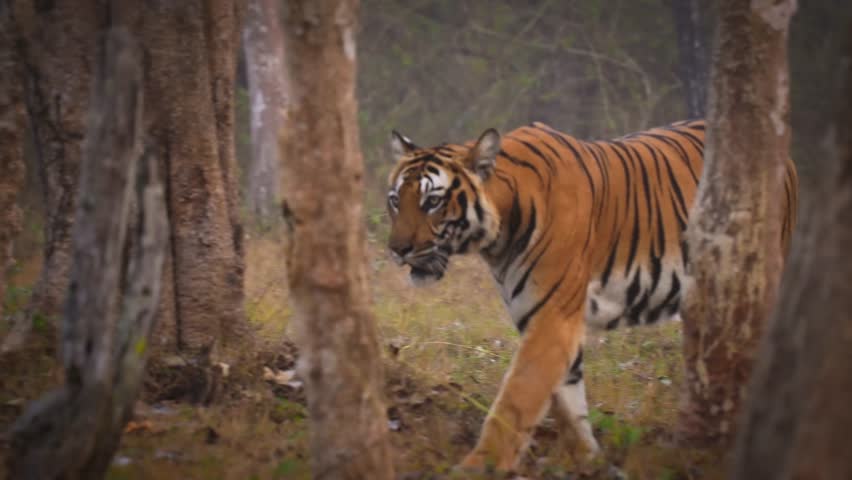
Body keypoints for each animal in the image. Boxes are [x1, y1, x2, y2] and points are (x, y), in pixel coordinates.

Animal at [385, 119, 798, 471]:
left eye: (432, 202)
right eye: (395, 200)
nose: (397, 249)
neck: (498, 235)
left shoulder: (552, 318)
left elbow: (517, 399)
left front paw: (479, 467)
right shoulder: (540, 317)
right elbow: (568, 403)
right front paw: (590, 464)